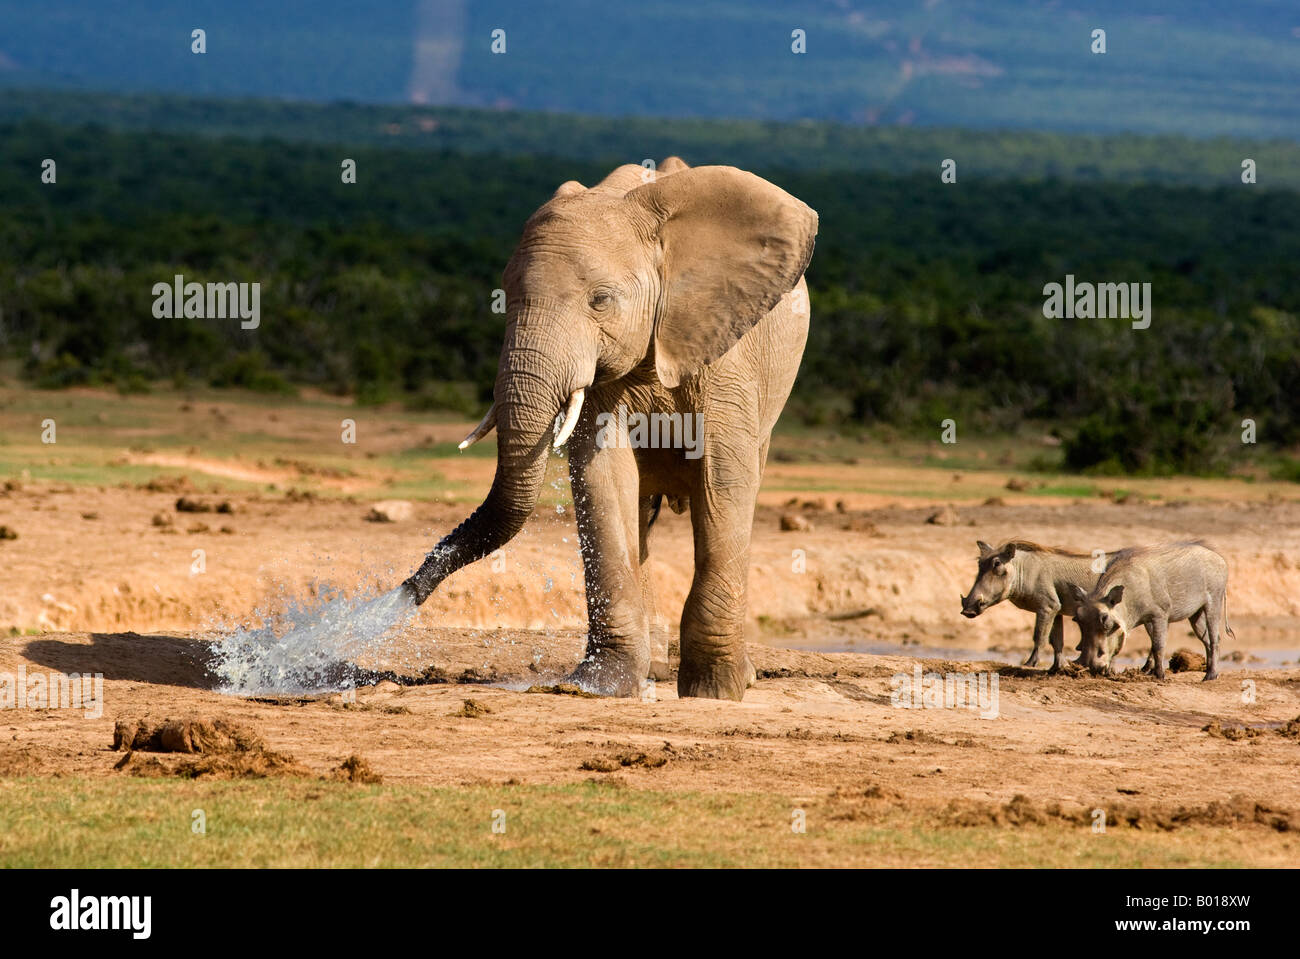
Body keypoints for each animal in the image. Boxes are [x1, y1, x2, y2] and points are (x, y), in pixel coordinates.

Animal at [401, 156, 818, 701]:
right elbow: (603, 477)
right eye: (504, 298)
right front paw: (601, 685)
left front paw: (715, 691)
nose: (405, 591)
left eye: (601, 300)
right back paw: (652, 669)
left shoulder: (726, 348)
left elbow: (723, 479)